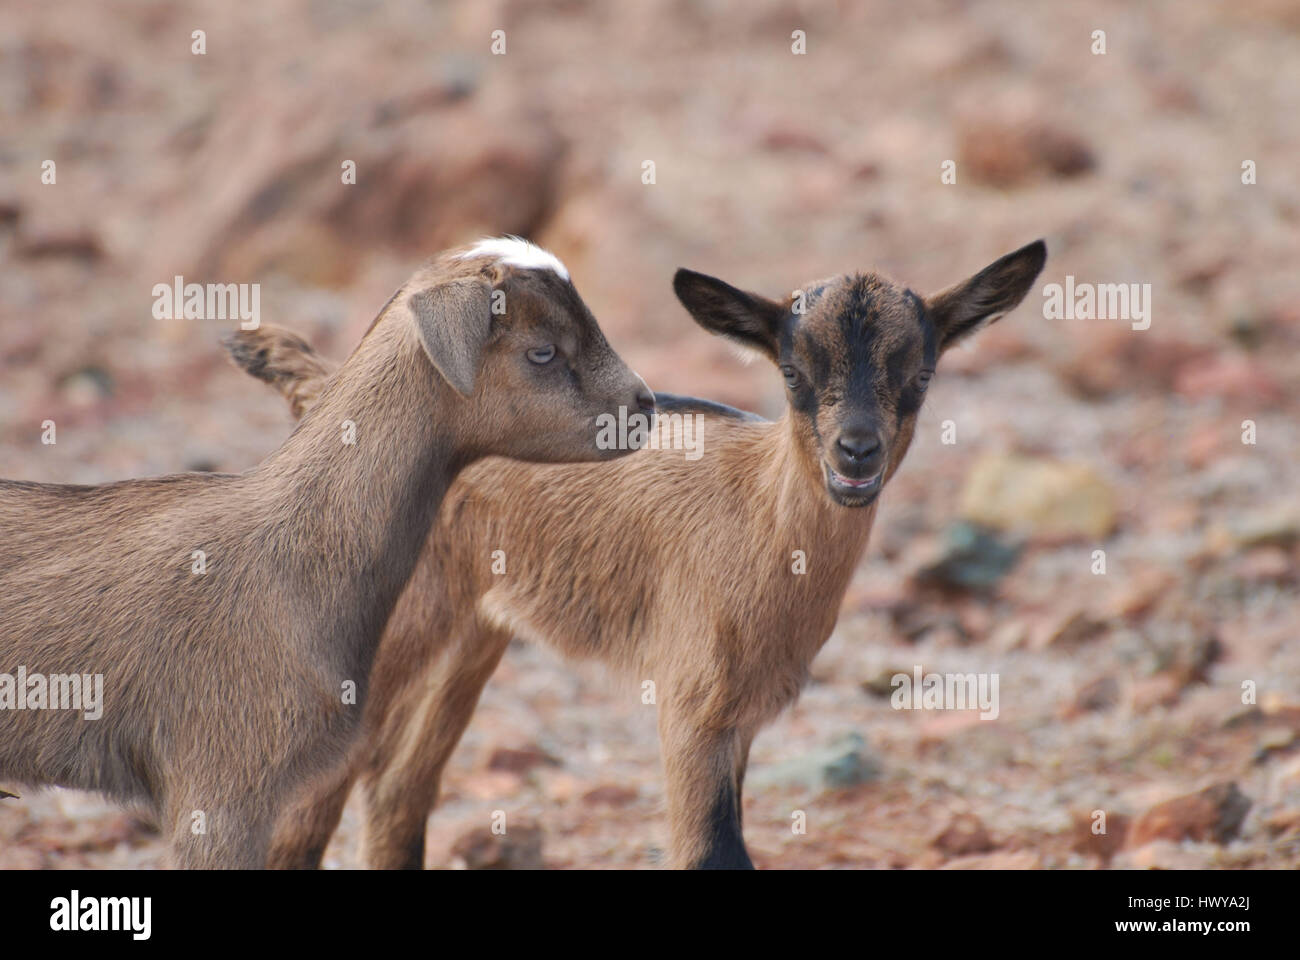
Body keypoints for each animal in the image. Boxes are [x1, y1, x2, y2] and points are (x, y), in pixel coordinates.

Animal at [232, 241, 1046, 869]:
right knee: (312, 802)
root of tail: (327, 396)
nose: (856, 452)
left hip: (474, 630)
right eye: (792, 372)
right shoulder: (692, 707)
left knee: (399, 789)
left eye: (922, 374)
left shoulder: (739, 721)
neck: (757, 521)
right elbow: (712, 852)